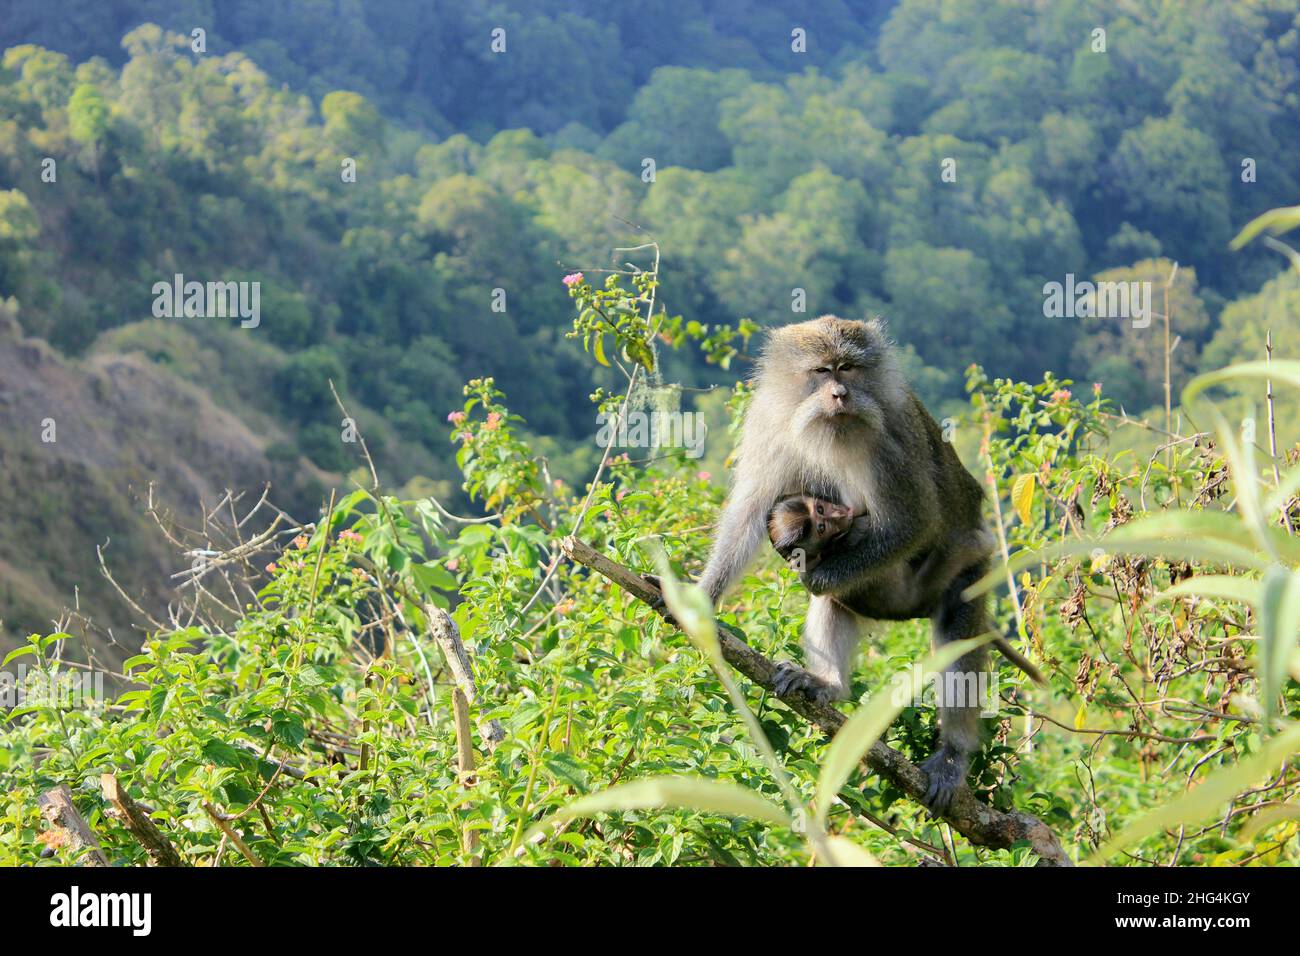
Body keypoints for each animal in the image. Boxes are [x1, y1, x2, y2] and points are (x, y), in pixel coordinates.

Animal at [693, 314, 1002, 813]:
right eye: (822, 371)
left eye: (849, 368)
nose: (840, 395)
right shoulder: (770, 424)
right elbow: (751, 510)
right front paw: (701, 597)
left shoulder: (892, 440)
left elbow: (915, 522)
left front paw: (816, 574)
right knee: (836, 606)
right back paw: (828, 685)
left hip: (962, 571)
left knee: (957, 634)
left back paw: (952, 756)